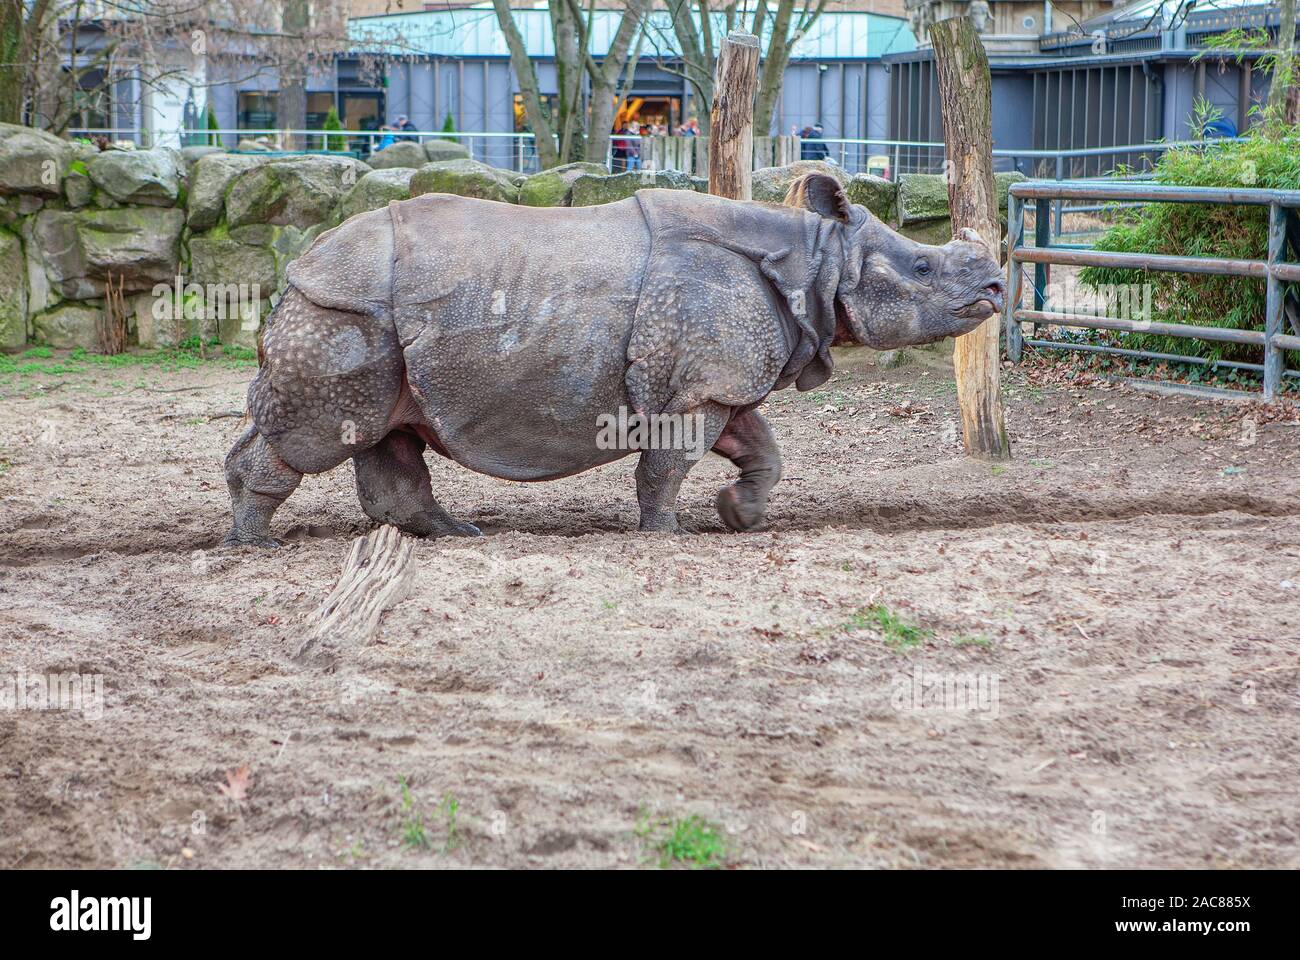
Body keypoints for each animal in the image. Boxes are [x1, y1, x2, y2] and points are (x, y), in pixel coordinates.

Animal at [222, 172, 1004, 546]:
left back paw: (459, 535)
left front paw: (739, 516)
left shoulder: (714, 381)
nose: (997, 286)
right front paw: (665, 534)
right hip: (340, 310)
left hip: (366, 317)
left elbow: (761, 449)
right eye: (924, 268)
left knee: (388, 430)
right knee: (318, 434)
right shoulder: (699, 384)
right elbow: (669, 464)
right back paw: (258, 544)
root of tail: (295, 266)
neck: (812, 257)